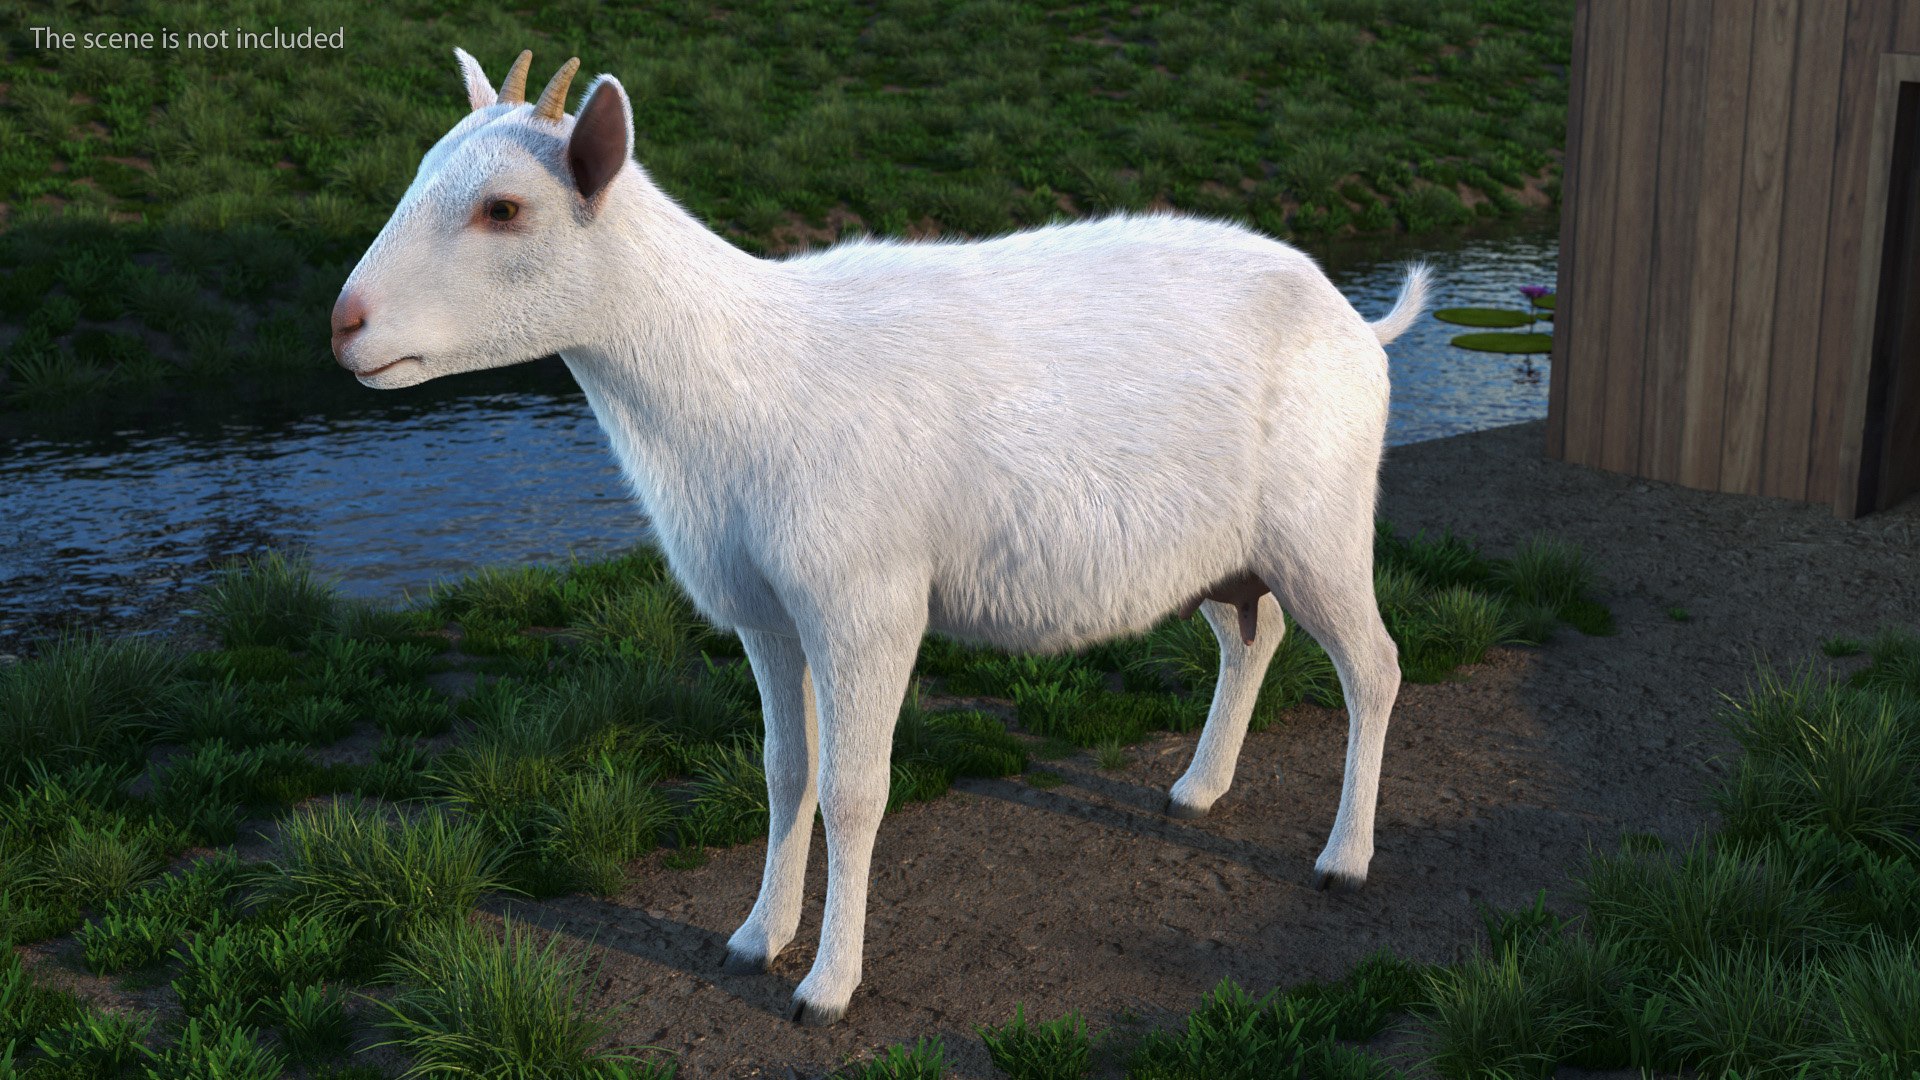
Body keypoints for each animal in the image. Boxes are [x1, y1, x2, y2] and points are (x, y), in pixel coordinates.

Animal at [331, 49, 1431, 1024]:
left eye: (504, 208)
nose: (344, 324)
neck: (740, 373)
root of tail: (1359, 322)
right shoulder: (767, 613)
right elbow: (785, 771)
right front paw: (755, 938)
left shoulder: (868, 603)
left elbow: (856, 791)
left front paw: (828, 987)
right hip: (1229, 550)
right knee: (1253, 636)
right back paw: (1199, 790)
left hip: (1324, 523)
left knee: (1375, 665)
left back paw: (1346, 857)